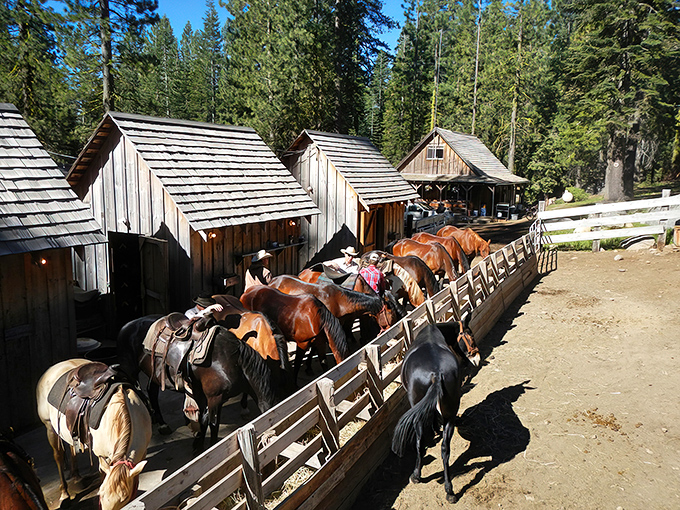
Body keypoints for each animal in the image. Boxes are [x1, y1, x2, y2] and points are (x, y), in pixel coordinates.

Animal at [36, 359, 152, 510]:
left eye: (124, 498)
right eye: (100, 493)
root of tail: (52, 368)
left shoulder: (141, 455)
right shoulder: (103, 456)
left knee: (72, 447)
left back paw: (77, 478)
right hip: (49, 426)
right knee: (58, 456)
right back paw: (64, 494)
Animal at [116, 319, 277, 452]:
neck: (234, 361)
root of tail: (125, 327)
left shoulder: (214, 398)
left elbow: (204, 419)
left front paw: (198, 444)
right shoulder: (214, 397)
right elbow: (213, 424)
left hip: (154, 375)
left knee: (151, 392)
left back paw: (162, 424)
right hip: (131, 371)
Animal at [391, 319, 481, 504]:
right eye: (470, 334)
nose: (477, 357)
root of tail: (437, 374)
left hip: (418, 416)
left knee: (419, 442)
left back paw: (416, 475)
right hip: (450, 416)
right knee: (445, 449)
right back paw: (449, 490)